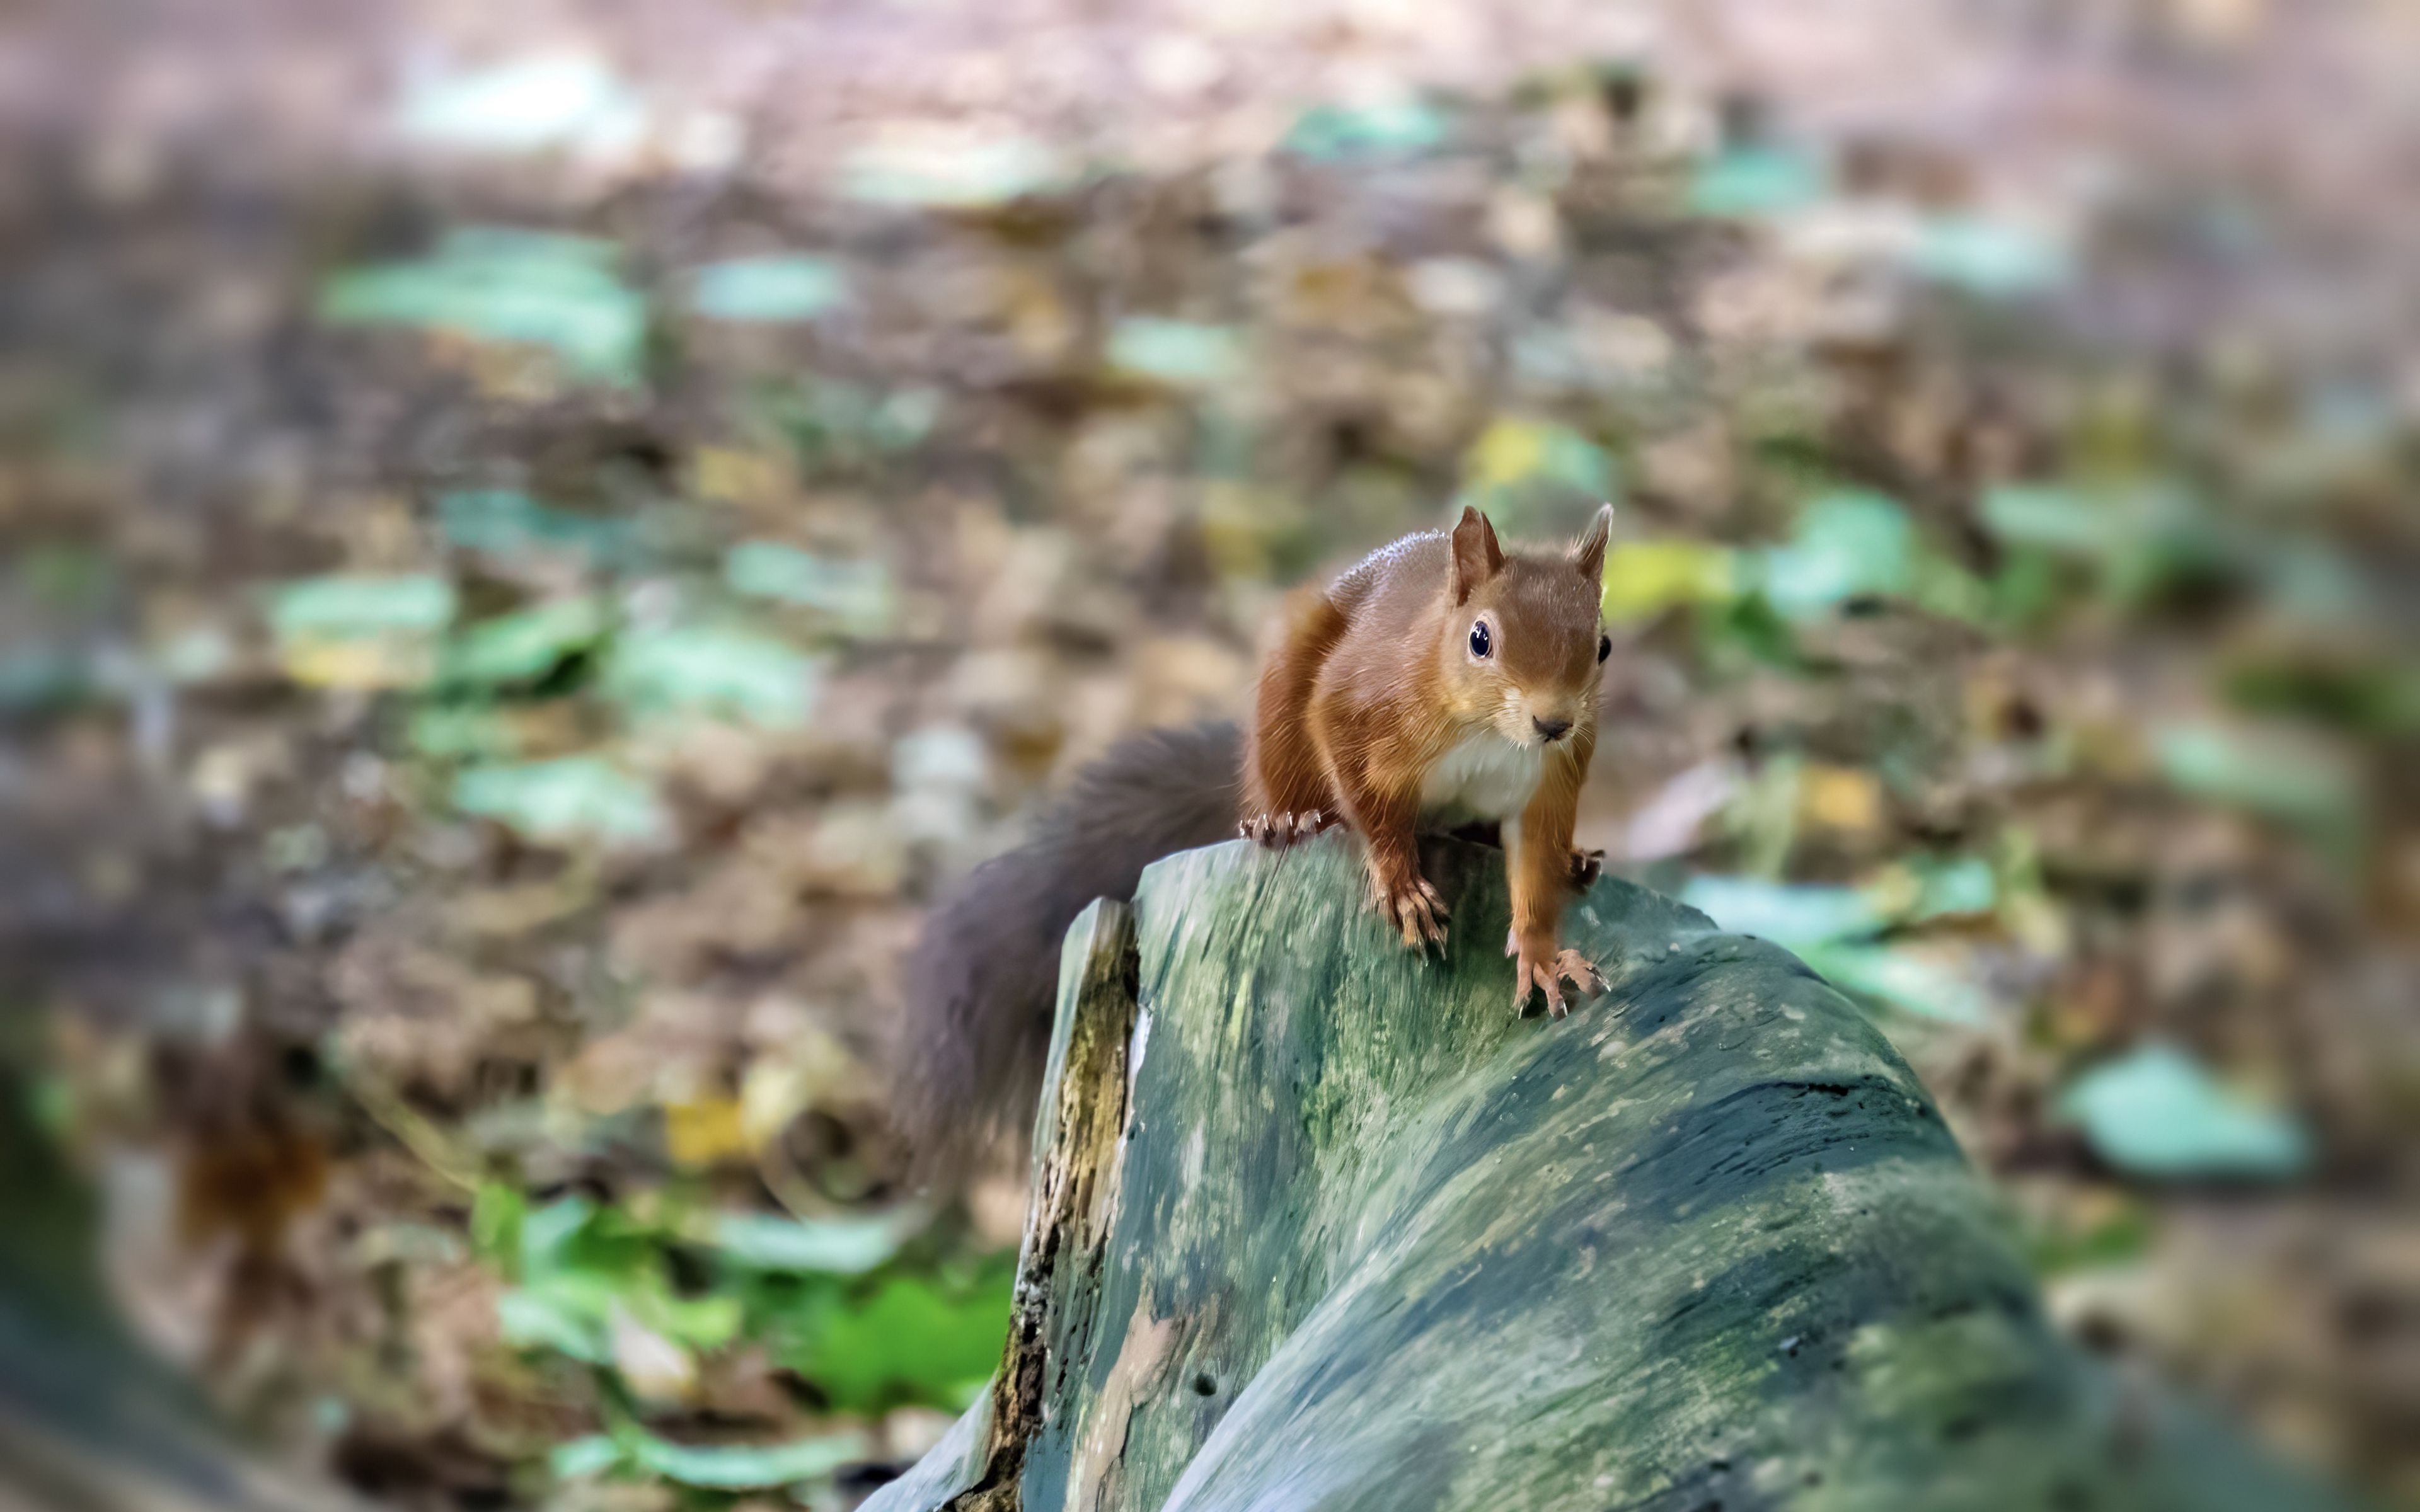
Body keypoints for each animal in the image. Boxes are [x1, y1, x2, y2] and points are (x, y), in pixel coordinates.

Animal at [897, 504, 1615, 1172]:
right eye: (1480, 639)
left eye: (1604, 646)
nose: (1553, 722)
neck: (1491, 735)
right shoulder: (1363, 704)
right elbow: (1366, 794)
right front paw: (1400, 883)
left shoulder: (1549, 787)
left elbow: (1535, 871)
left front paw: (1542, 954)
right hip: (1283, 699)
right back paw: (1288, 821)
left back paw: (1575, 860)